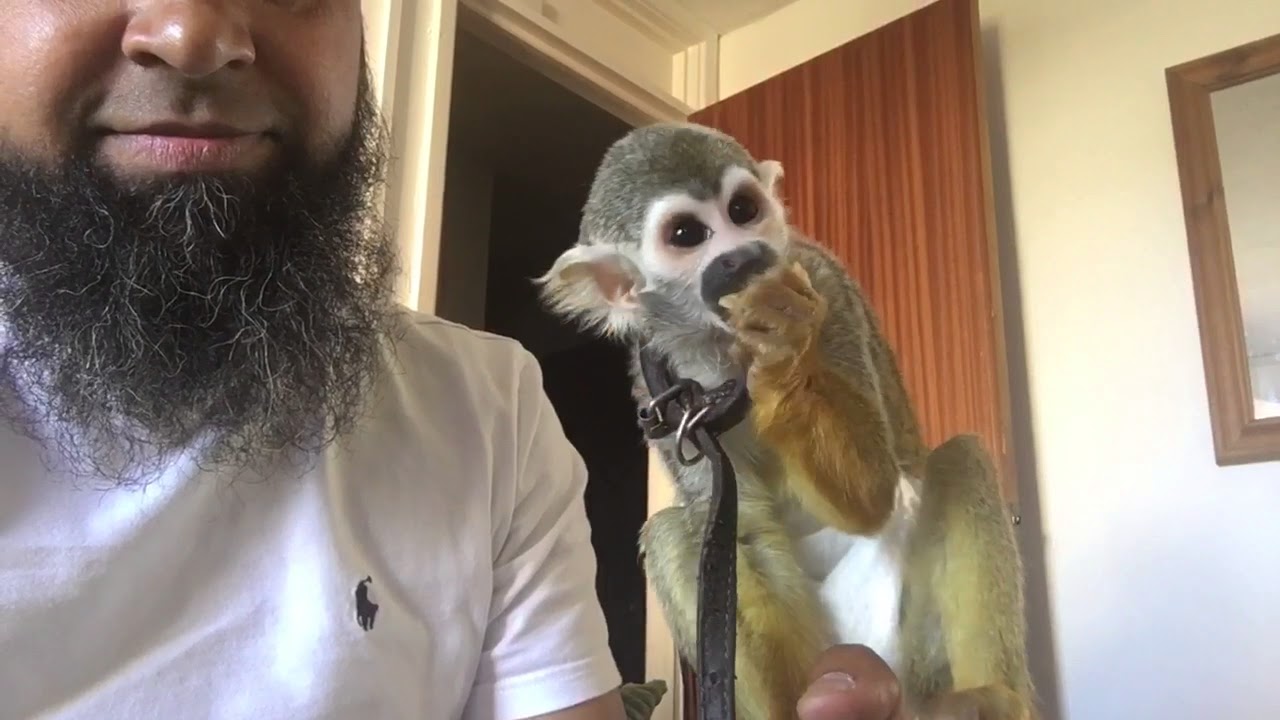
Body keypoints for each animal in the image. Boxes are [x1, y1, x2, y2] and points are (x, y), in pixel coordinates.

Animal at [534, 121, 1036, 720]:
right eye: (686, 234)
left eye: (743, 209)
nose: (745, 254)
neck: (723, 344)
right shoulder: (654, 384)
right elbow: (741, 530)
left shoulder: (822, 280)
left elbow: (870, 494)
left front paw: (785, 349)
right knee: (674, 530)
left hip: (916, 653)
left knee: (960, 458)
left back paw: (995, 695)